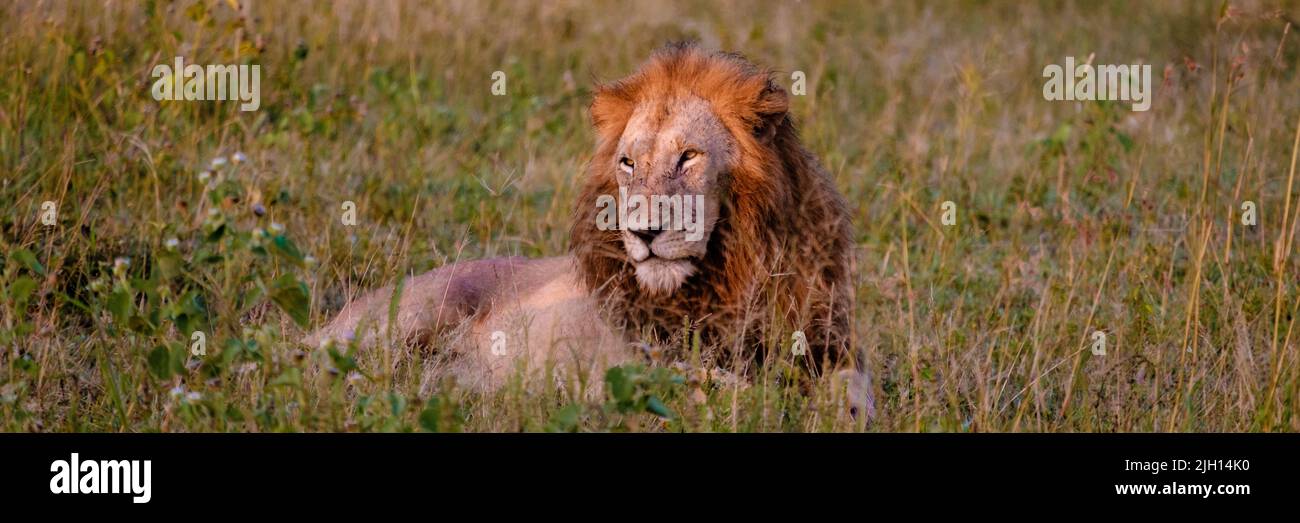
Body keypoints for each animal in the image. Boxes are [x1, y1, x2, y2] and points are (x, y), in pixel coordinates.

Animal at [306, 44, 872, 416]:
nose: (643, 233)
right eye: (628, 163)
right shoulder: (648, 359)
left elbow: (856, 389)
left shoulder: (829, 339)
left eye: (688, 156)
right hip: (414, 312)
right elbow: (728, 387)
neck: (733, 269)